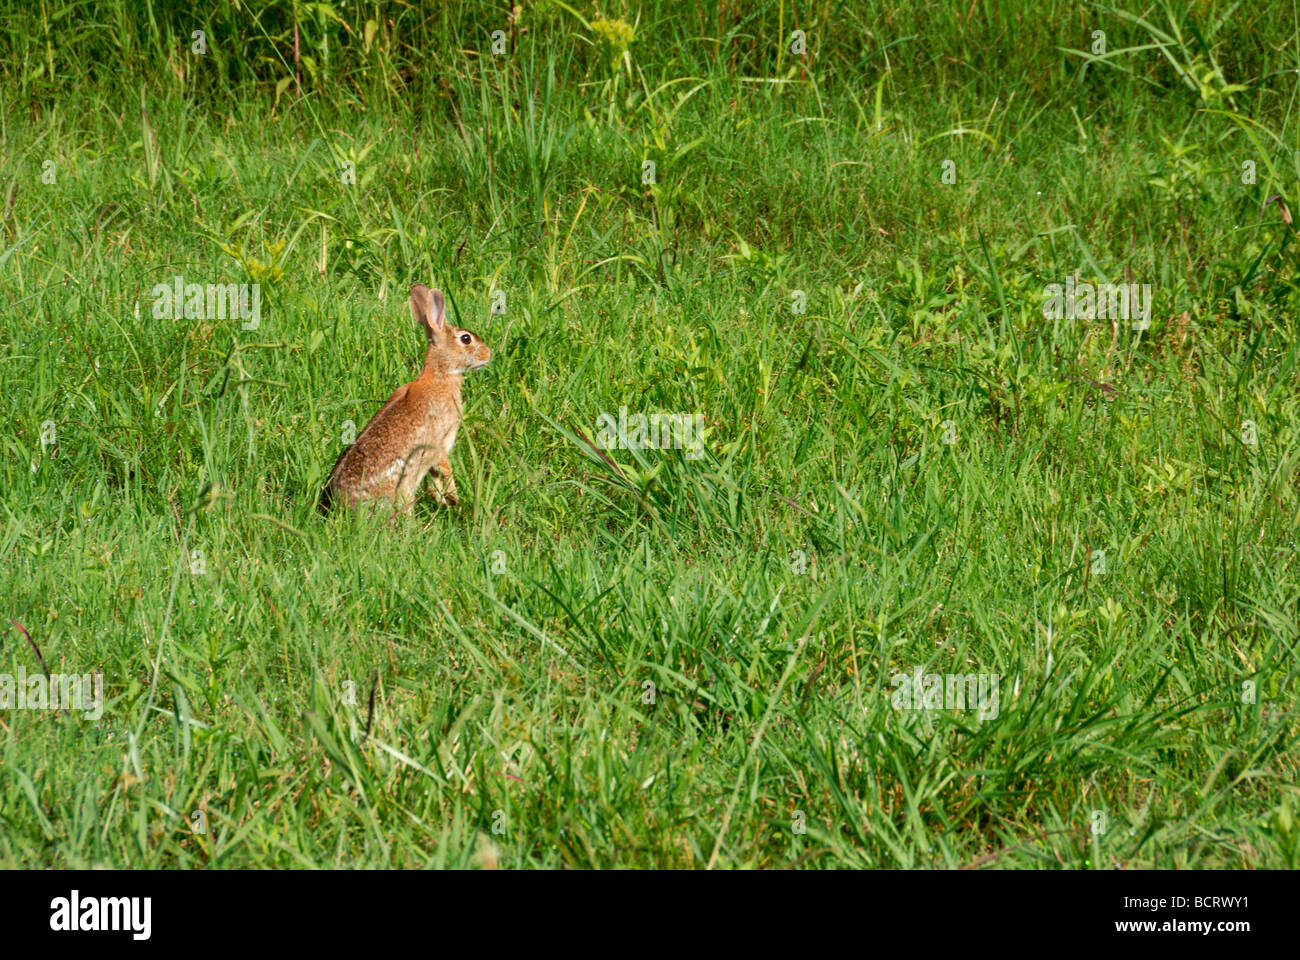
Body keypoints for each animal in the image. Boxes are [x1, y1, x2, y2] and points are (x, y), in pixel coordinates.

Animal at [322, 283, 491, 511]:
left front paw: (443, 500)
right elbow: (445, 469)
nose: (489, 354)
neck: (440, 376)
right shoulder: (440, 443)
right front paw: (454, 498)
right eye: (466, 339)